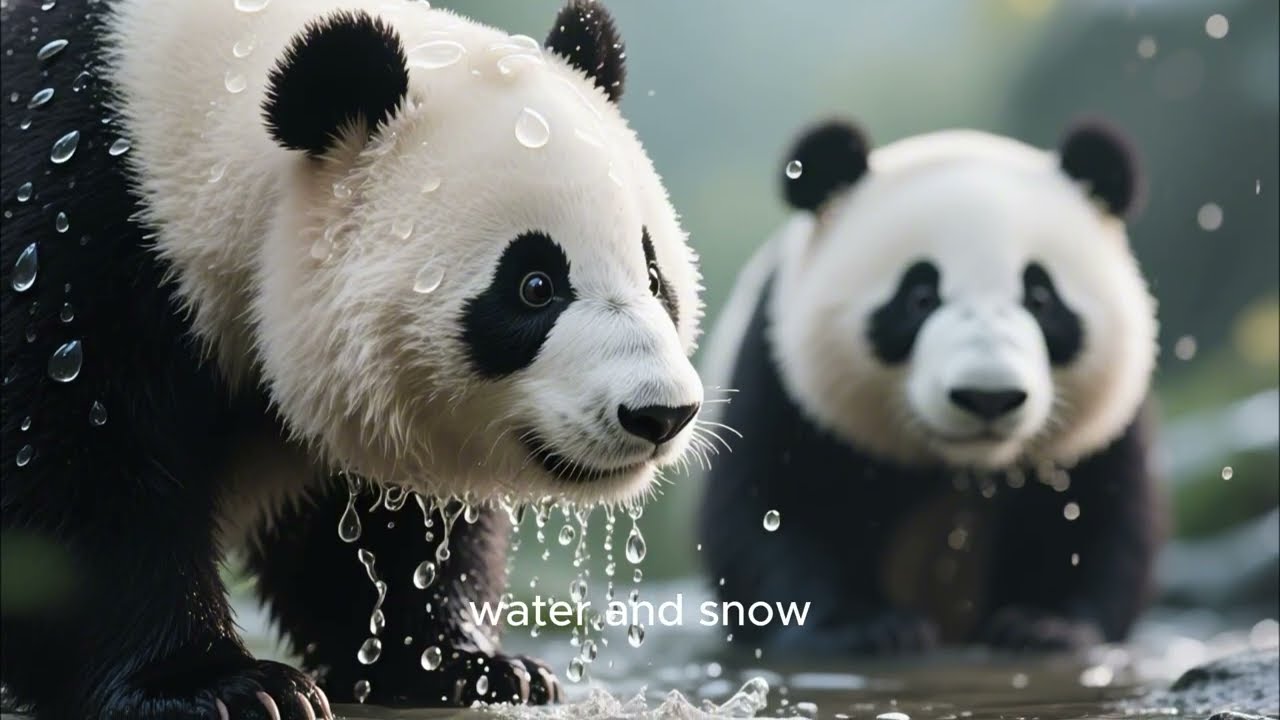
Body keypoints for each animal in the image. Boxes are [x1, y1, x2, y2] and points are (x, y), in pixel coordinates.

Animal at [1, 0, 704, 717]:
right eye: (535, 286)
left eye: (654, 276)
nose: (659, 413)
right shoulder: (69, 220)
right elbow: (76, 465)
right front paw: (221, 685)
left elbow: (381, 534)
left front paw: (466, 665)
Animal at [698, 118, 1164, 655]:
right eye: (919, 298)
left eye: (1041, 298)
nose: (988, 396)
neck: (960, 466)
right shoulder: (783, 377)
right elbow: (772, 507)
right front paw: (863, 629)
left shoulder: (1103, 429)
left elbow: (1097, 519)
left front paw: (1044, 627)